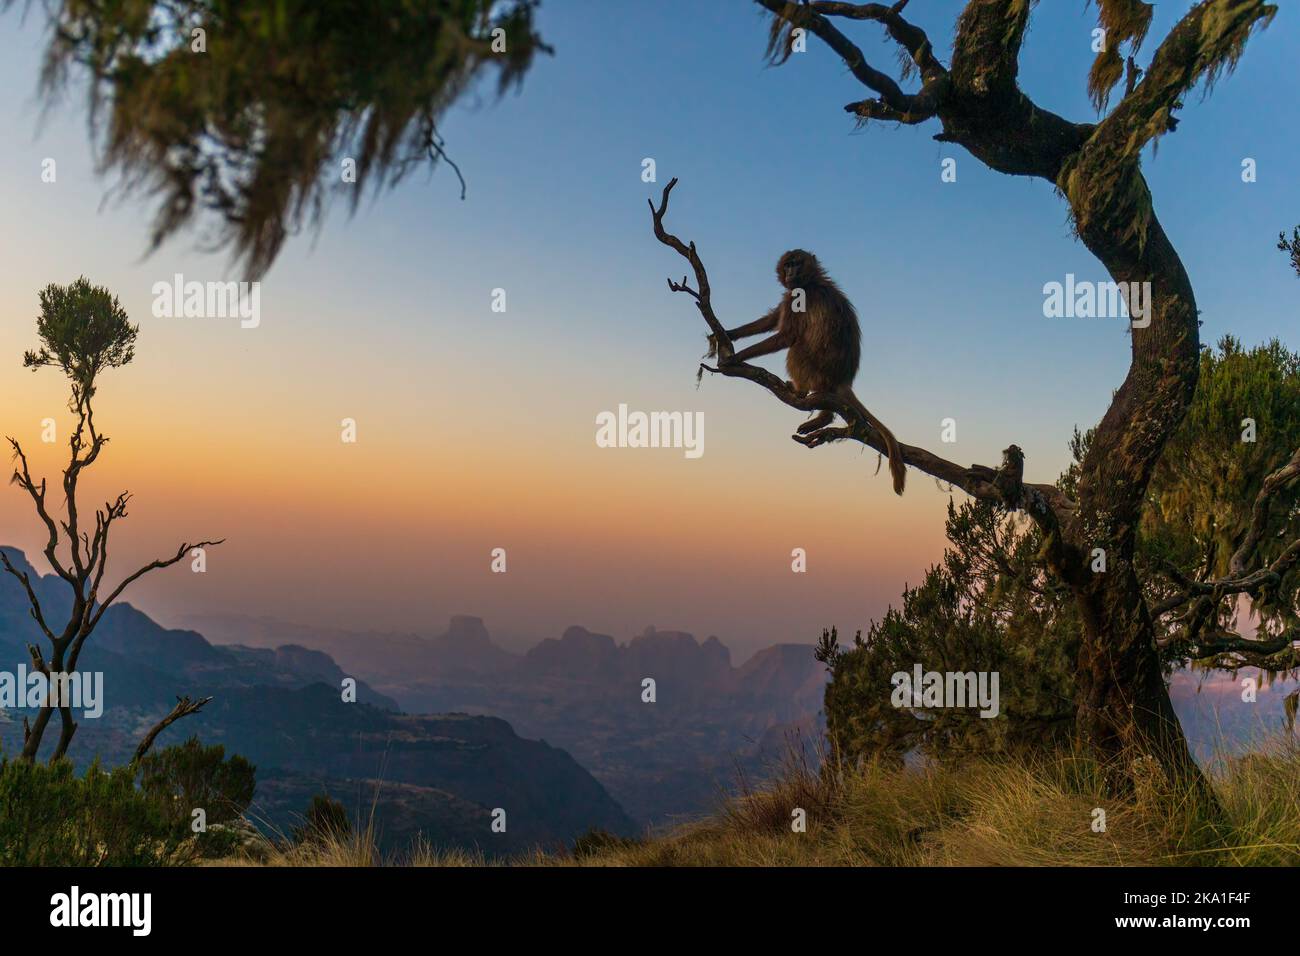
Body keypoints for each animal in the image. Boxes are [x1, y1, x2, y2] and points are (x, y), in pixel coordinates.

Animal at [720, 249, 906, 495]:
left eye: (797, 263)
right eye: (788, 264)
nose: (791, 272)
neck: (811, 282)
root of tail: (844, 379)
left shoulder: (799, 298)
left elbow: (787, 336)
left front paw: (737, 356)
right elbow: (771, 320)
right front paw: (730, 333)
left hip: (817, 369)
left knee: (796, 347)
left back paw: (803, 395)